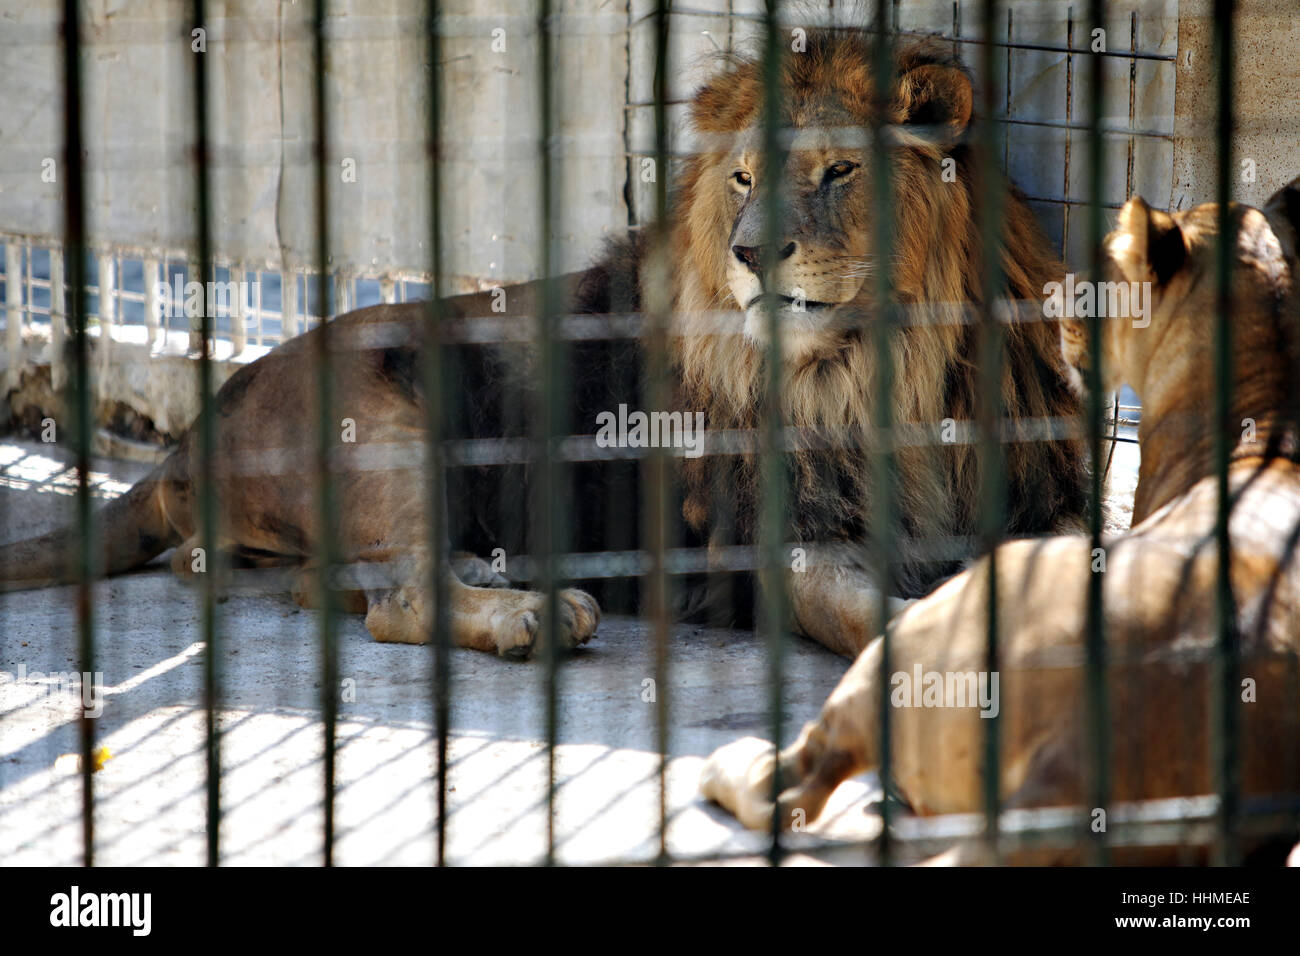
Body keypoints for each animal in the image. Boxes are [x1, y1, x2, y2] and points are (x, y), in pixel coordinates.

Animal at [0, 33, 1088, 660]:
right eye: (742, 178)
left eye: (837, 171)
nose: (747, 251)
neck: (876, 369)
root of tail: (191, 439)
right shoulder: (783, 541)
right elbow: (863, 611)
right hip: (386, 419)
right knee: (395, 595)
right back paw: (532, 614)